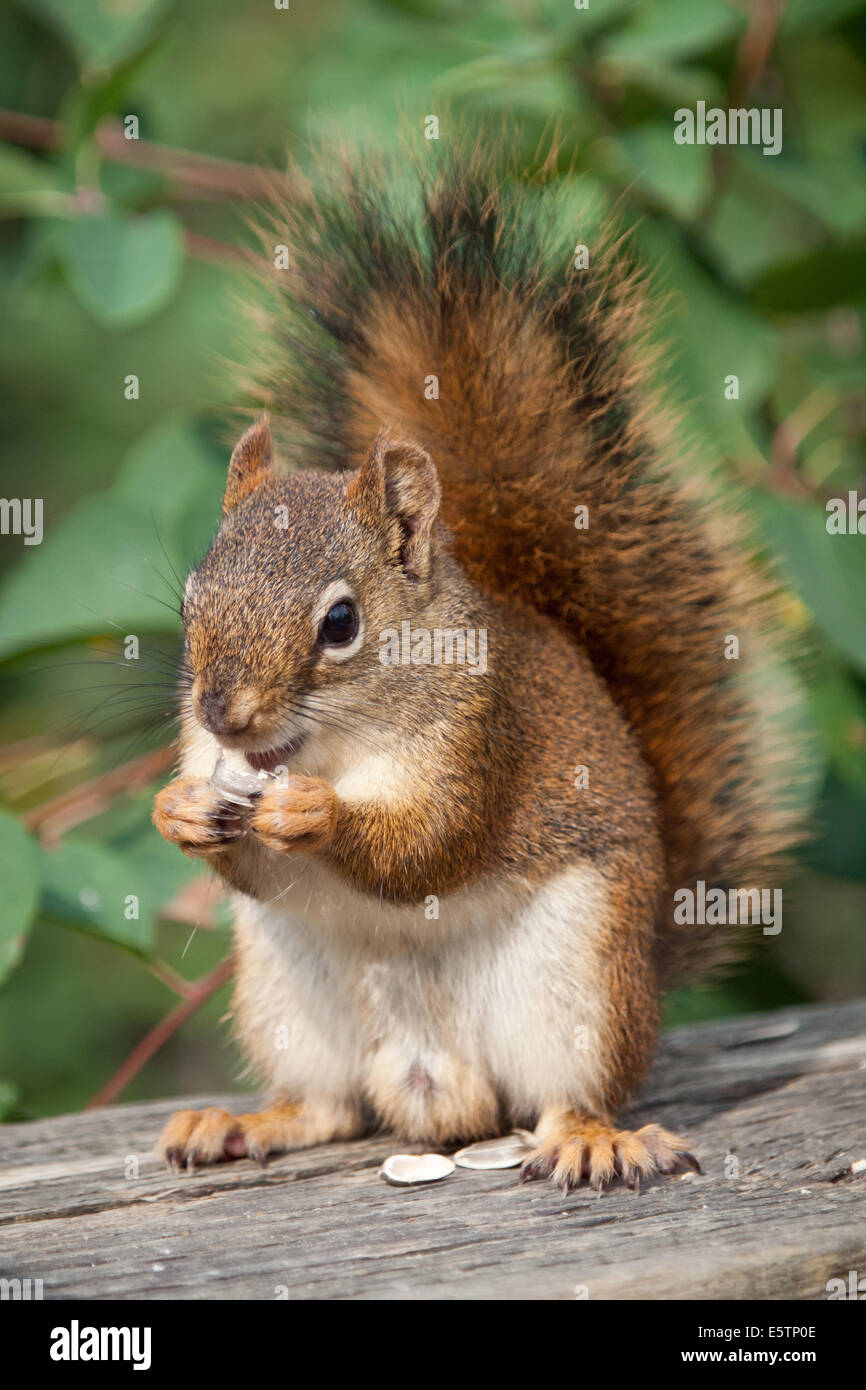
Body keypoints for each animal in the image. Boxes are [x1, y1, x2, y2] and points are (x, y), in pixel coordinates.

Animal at [152, 147, 797, 1190]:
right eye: (189, 600)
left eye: (341, 623)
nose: (222, 716)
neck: (330, 746)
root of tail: (438, 1088)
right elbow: (244, 863)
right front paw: (177, 808)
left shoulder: (484, 735)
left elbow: (431, 844)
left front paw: (315, 816)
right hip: (292, 998)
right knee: (328, 1107)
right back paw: (240, 1122)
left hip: (576, 983)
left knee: (568, 1090)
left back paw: (589, 1138)